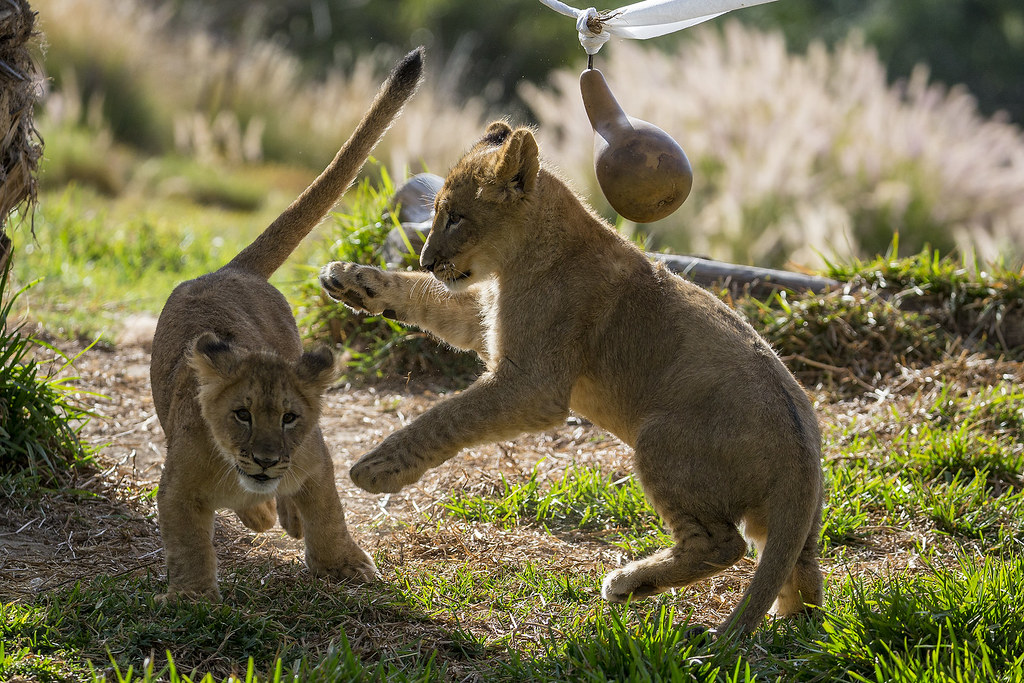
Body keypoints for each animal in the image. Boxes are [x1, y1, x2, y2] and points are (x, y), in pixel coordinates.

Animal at [148, 48, 424, 601]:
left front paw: (343, 566)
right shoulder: (178, 488)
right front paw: (193, 598)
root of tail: (230, 269)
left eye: (290, 418)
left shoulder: (315, 461)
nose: (266, 459)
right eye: (242, 414)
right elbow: (187, 543)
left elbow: (329, 515)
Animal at [318, 121, 824, 635]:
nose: (424, 260)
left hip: (662, 441)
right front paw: (352, 280)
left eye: (455, 217)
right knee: (797, 563)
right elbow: (426, 299)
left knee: (723, 544)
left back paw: (628, 584)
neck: (522, 256)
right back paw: (794, 621)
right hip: (789, 519)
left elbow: (450, 414)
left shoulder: (533, 383)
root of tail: (801, 458)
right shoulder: (487, 319)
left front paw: (379, 466)